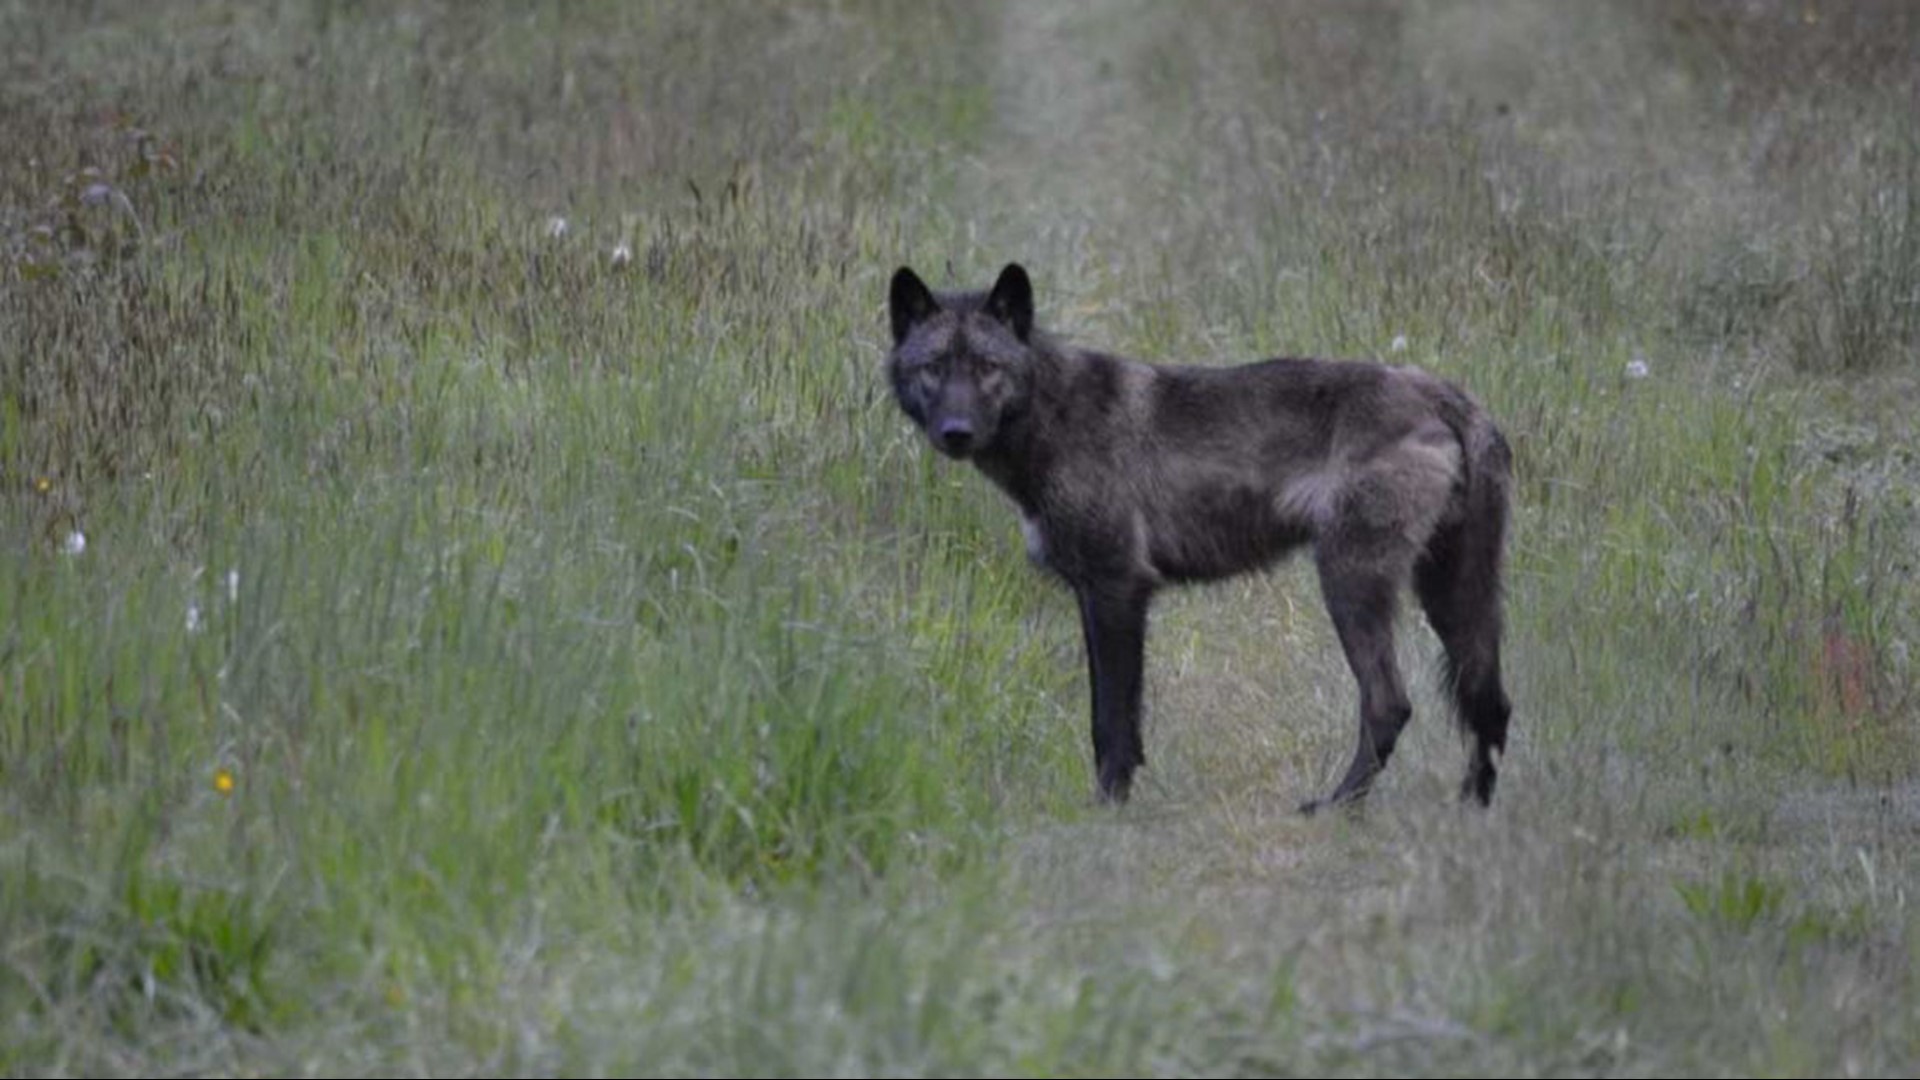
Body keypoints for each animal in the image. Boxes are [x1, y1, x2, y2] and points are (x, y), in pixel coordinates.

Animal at [886, 263, 1514, 811]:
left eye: (987, 366)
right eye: (934, 367)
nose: (956, 433)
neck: (1051, 414)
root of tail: (1440, 391)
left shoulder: (1116, 590)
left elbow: (1110, 722)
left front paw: (1106, 809)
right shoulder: (1097, 598)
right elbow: (1116, 719)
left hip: (1351, 585)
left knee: (1390, 705)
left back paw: (1335, 807)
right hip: (1451, 599)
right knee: (1493, 705)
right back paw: (1472, 810)